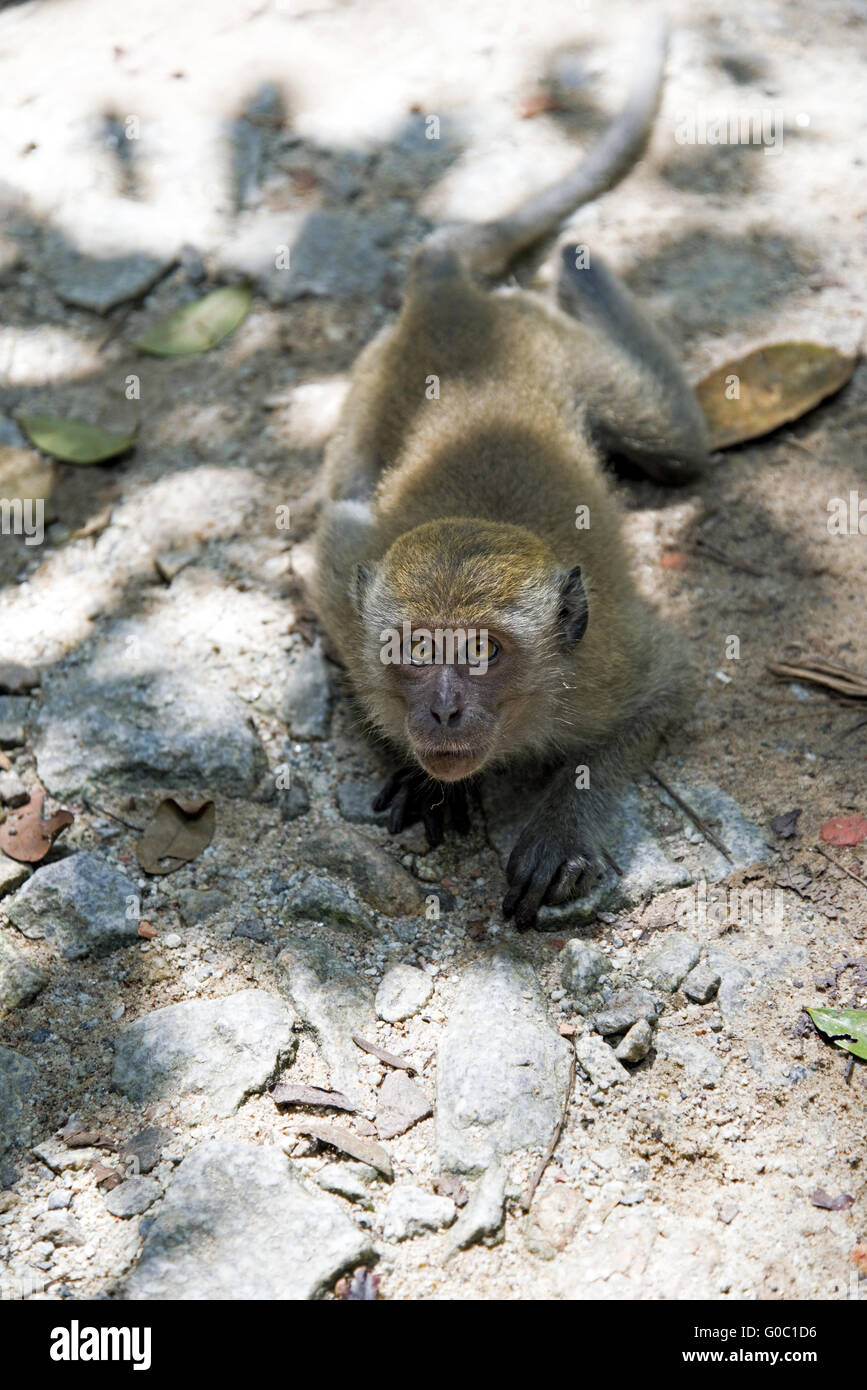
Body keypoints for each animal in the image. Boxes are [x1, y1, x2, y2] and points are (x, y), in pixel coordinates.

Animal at [311, 20, 711, 930]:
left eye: (482, 654)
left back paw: (579, 268)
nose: (442, 708)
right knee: (345, 495)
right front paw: (421, 775)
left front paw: (562, 823)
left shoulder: (608, 665)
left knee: (676, 447)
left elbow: (666, 686)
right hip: (370, 383)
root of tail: (453, 302)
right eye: (414, 651)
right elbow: (332, 547)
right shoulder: (349, 614)